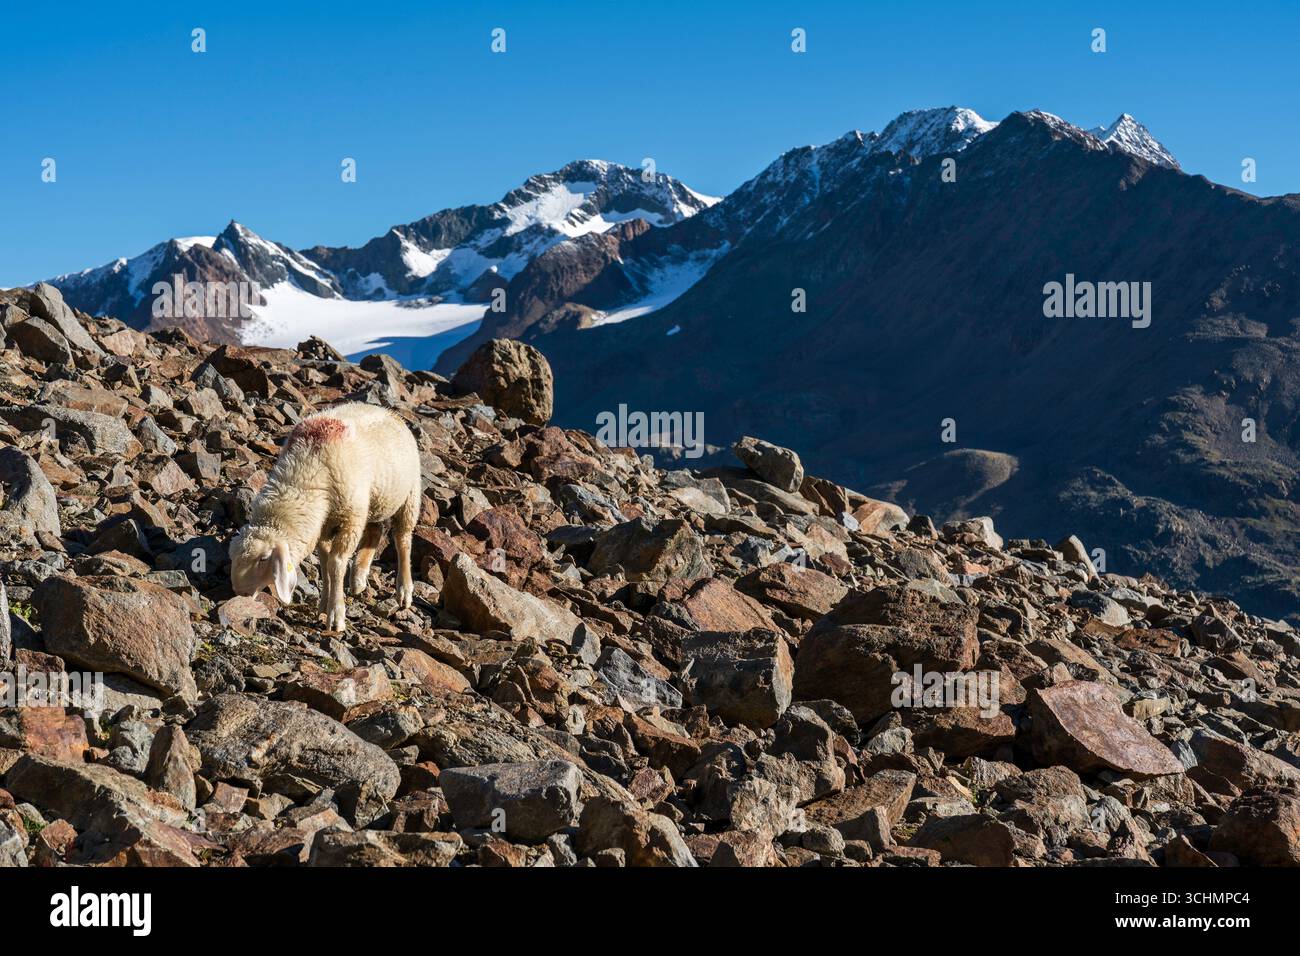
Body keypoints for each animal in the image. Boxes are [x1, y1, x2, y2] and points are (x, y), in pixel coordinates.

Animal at [229, 402, 422, 632]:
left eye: (264, 559)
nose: (240, 593)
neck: (308, 467)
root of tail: (389, 412)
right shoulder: (323, 526)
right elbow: (324, 562)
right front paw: (324, 603)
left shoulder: (350, 519)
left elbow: (336, 564)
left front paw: (336, 614)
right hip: (375, 500)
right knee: (376, 530)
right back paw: (359, 577)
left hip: (409, 496)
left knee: (403, 540)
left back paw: (404, 590)